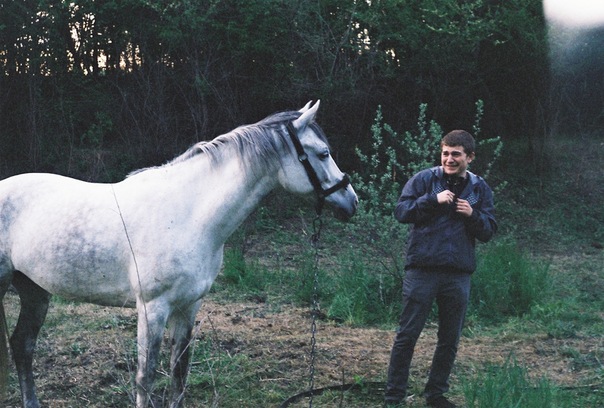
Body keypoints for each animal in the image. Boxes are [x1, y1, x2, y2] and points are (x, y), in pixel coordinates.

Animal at [0, 100, 357, 408]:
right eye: (323, 153)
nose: (351, 201)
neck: (188, 213)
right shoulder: (152, 309)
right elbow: (145, 377)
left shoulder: (188, 306)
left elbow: (178, 373)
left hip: (34, 290)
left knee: (22, 346)